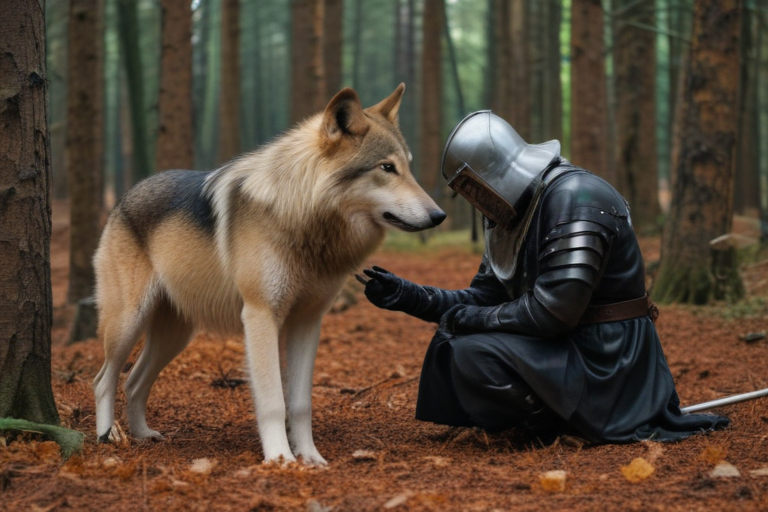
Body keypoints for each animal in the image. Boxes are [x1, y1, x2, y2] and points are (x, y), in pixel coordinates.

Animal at [92, 84, 445, 465]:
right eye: (386, 168)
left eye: (407, 167)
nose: (439, 215)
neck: (303, 220)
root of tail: (127, 193)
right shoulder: (260, 316)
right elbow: (274, 400)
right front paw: (281, 460)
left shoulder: (308, 322)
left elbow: (301, 403)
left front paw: (311, 458)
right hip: (128, 323)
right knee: (103, 380)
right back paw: (108, 436)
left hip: (176, 336)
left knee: (133, 382)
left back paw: (142, 435)